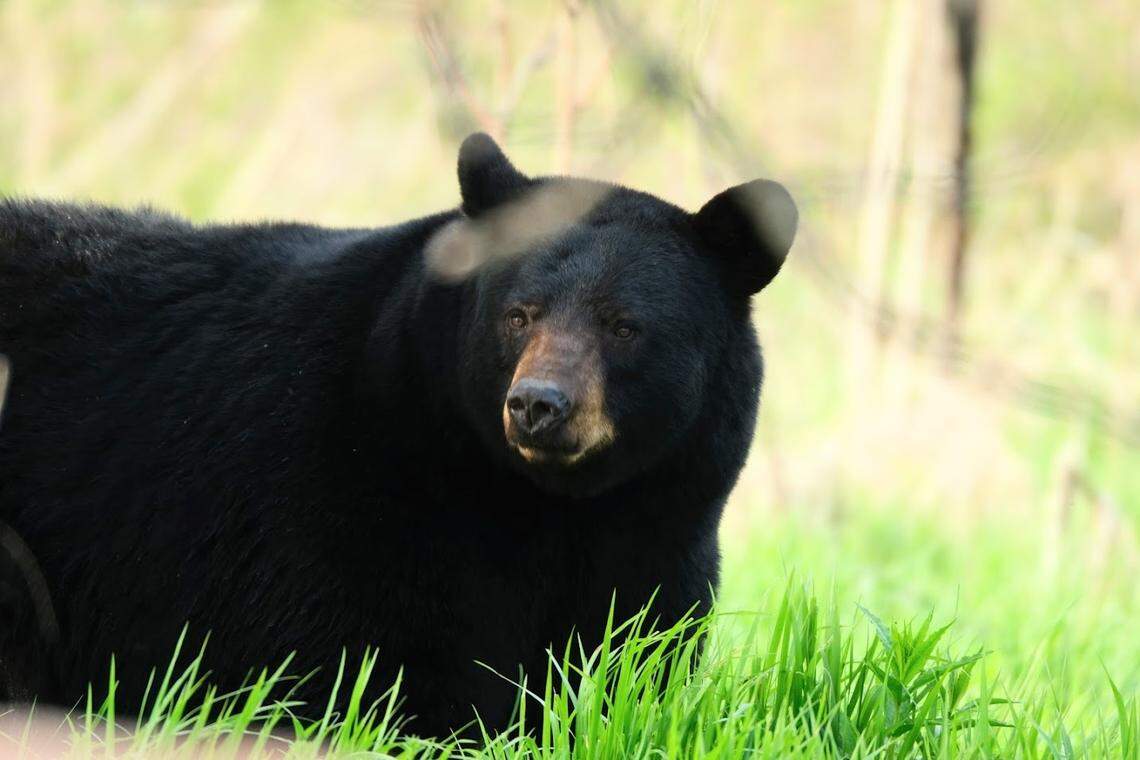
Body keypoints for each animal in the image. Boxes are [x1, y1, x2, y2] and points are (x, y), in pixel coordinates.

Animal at [0, 133, 796, 736]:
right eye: (519, 314)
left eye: (625, 326)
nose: (538, 405)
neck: (543, 505)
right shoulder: (342, 508)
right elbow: (366, 666)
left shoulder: (662, 523)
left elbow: (634, 651)